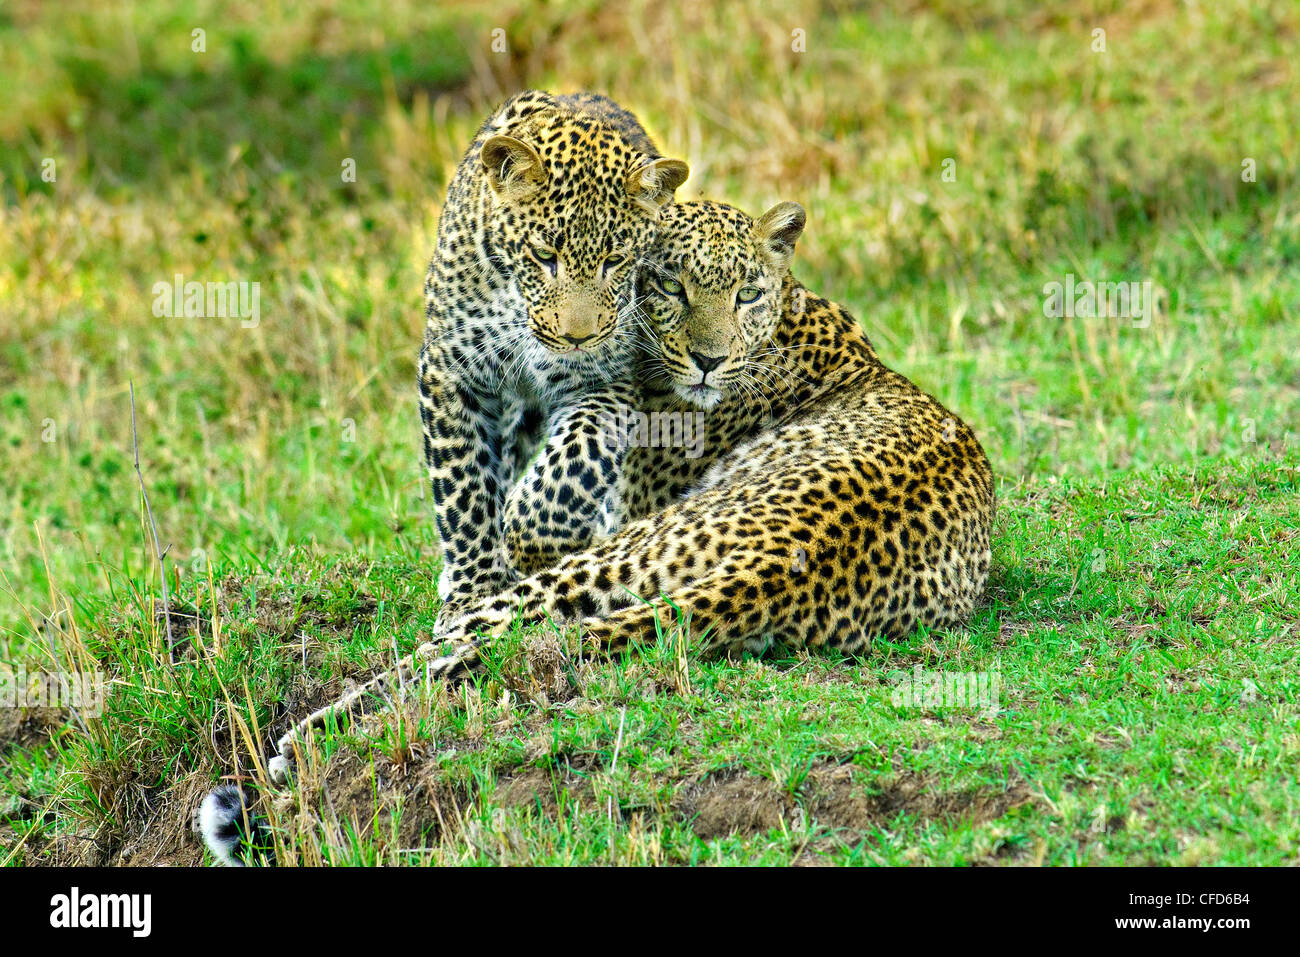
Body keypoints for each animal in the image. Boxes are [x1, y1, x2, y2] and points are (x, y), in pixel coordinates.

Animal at [252, 198, 995, 799]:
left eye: (745, 293)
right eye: (671, 285)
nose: (709, 361)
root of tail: (776, 566)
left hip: (601, 561)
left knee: (451, 646)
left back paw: (305, 739)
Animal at [419, 90, 688, 627]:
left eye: (615, 261)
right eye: (544, 256)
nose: (577, 337)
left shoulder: (605, 382)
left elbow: (572, 464)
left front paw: (527, 535)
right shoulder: (451, 374)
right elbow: (464, 486)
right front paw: (473, 589)